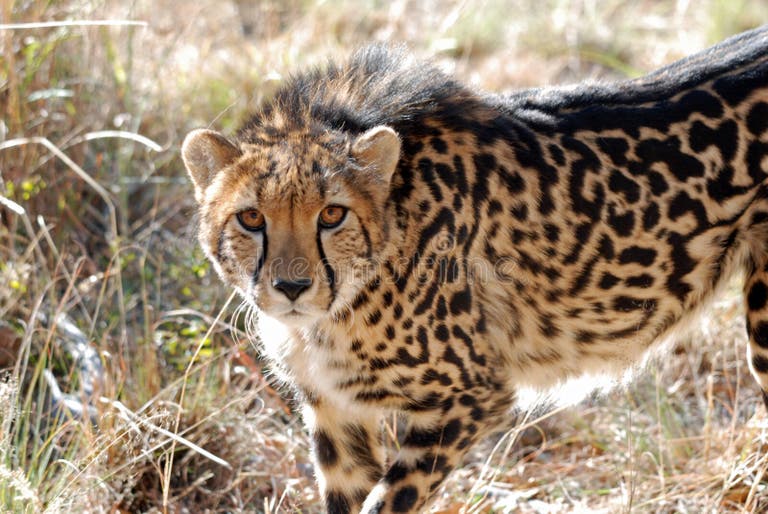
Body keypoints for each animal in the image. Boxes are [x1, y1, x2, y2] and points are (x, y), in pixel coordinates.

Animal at [182, 25, 768, 513]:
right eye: (251, 218)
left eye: (331, 214)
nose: (292, 286)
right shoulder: (335, 411)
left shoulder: (470, 397)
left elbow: (386, 503)